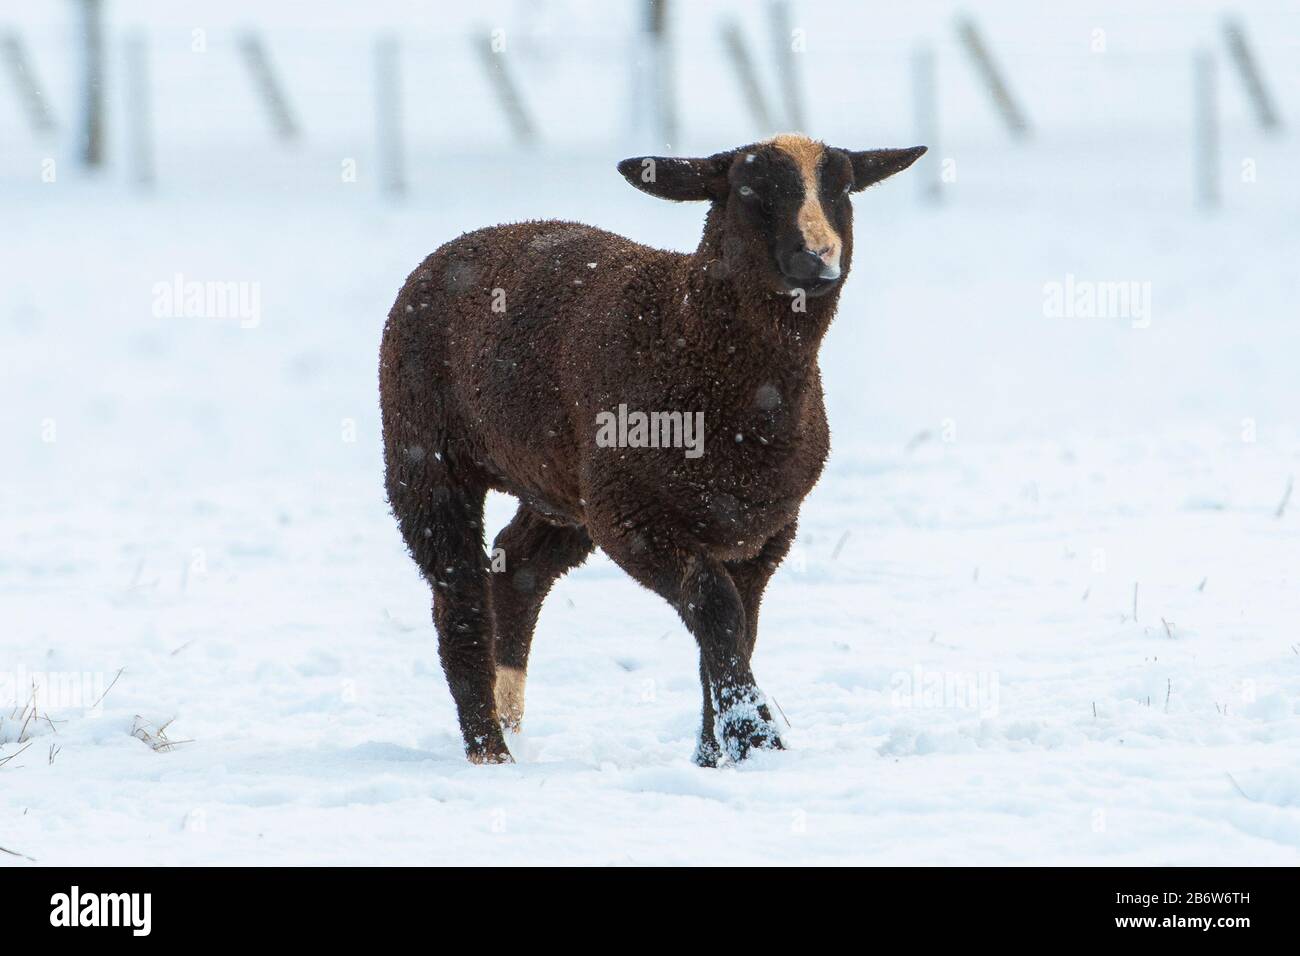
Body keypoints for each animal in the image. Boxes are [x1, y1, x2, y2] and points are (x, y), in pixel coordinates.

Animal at [379, 134, 926, 765]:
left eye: (843, 189)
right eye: (749, 189)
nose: (819, 258)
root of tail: (455, 246)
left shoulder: (762, 533)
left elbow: (736, 629)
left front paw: (714, 753)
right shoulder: (634, 518)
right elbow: (716, 612)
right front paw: (755, 738)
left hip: (564, 487)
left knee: (519, 566)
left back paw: (509, 713)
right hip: (426, 456)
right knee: (459, 594)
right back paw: (489, 750)